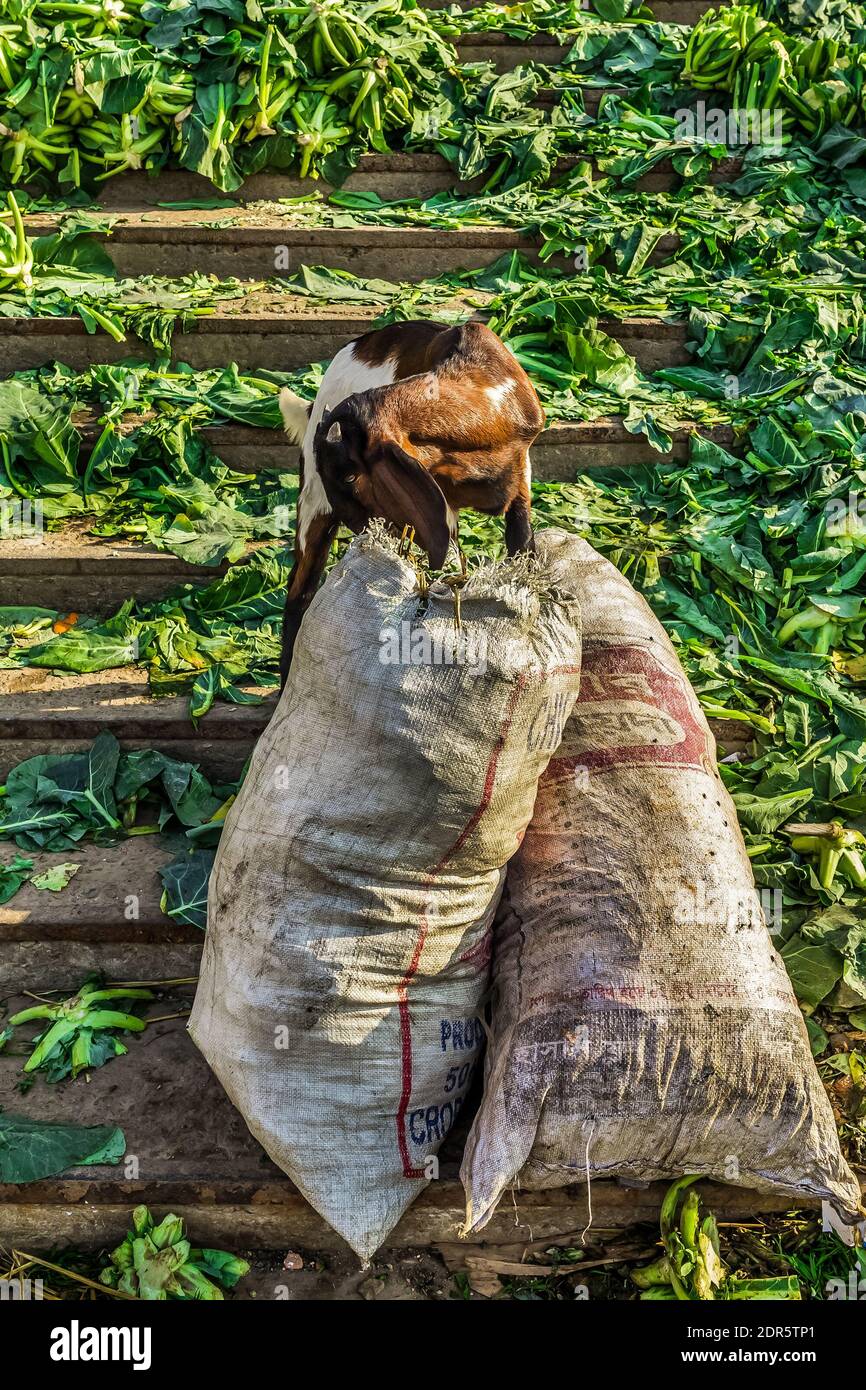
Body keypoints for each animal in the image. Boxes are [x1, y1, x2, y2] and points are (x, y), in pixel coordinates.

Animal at [278, 318, 545, 684]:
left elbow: (523, 546)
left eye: (349, 478)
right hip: (312, 501)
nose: (364, 532)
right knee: (299, 588)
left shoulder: (520, 473)